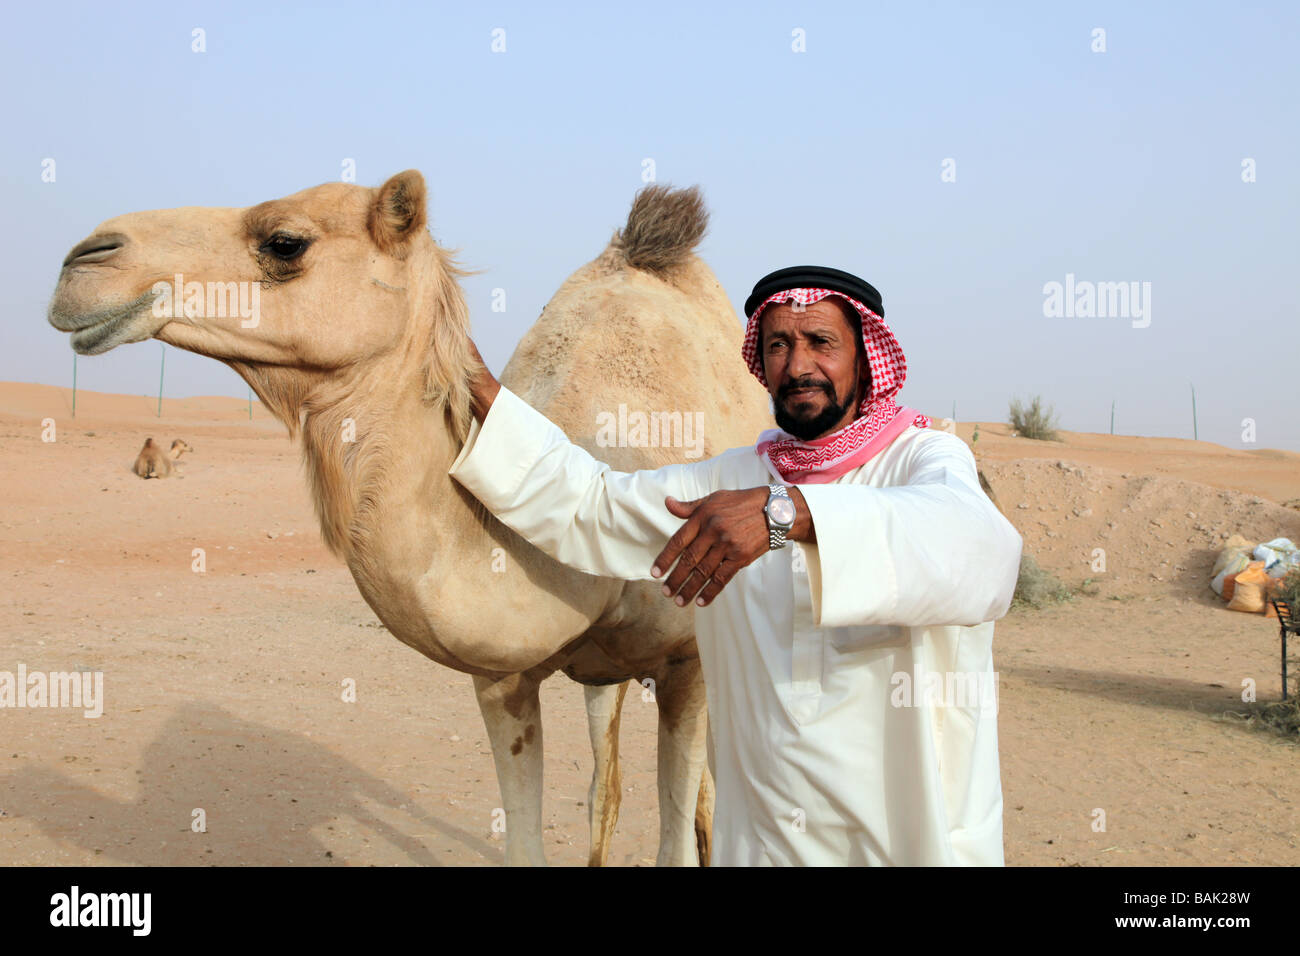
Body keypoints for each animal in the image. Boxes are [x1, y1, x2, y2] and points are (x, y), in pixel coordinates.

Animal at [48, 171, 774, 865]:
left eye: (285, 242)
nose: (83, 260)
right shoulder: (502, 681)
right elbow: (527, 843)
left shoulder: (689, 663)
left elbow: (679, 837)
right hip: (607, 678)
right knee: (607, 784)